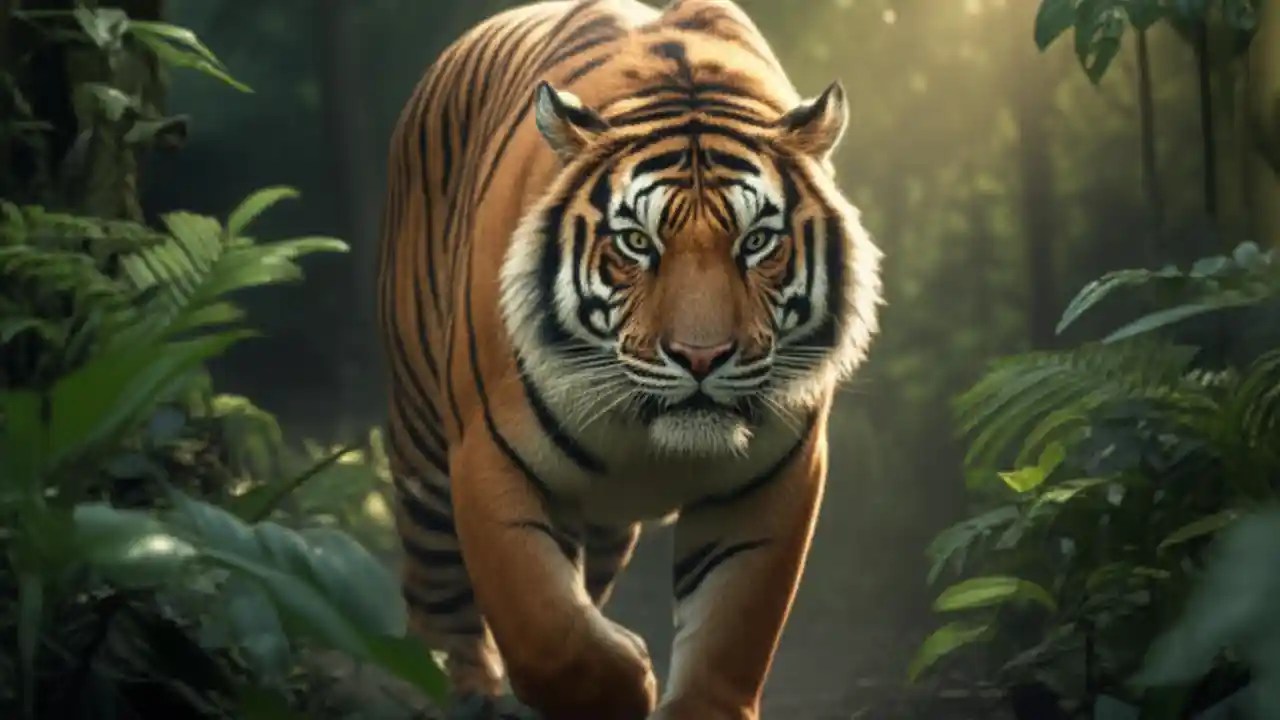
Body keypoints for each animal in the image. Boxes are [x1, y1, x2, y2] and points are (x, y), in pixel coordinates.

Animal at [376, 0, 883, 718]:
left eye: (757, 241)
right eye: (637, 243)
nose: (702, 356)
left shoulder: (769, 482)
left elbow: (728, 641)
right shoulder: (489, 457)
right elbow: (545, 632)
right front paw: (628, 678)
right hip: (424, 456)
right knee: (438, 604)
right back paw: (470, 690)